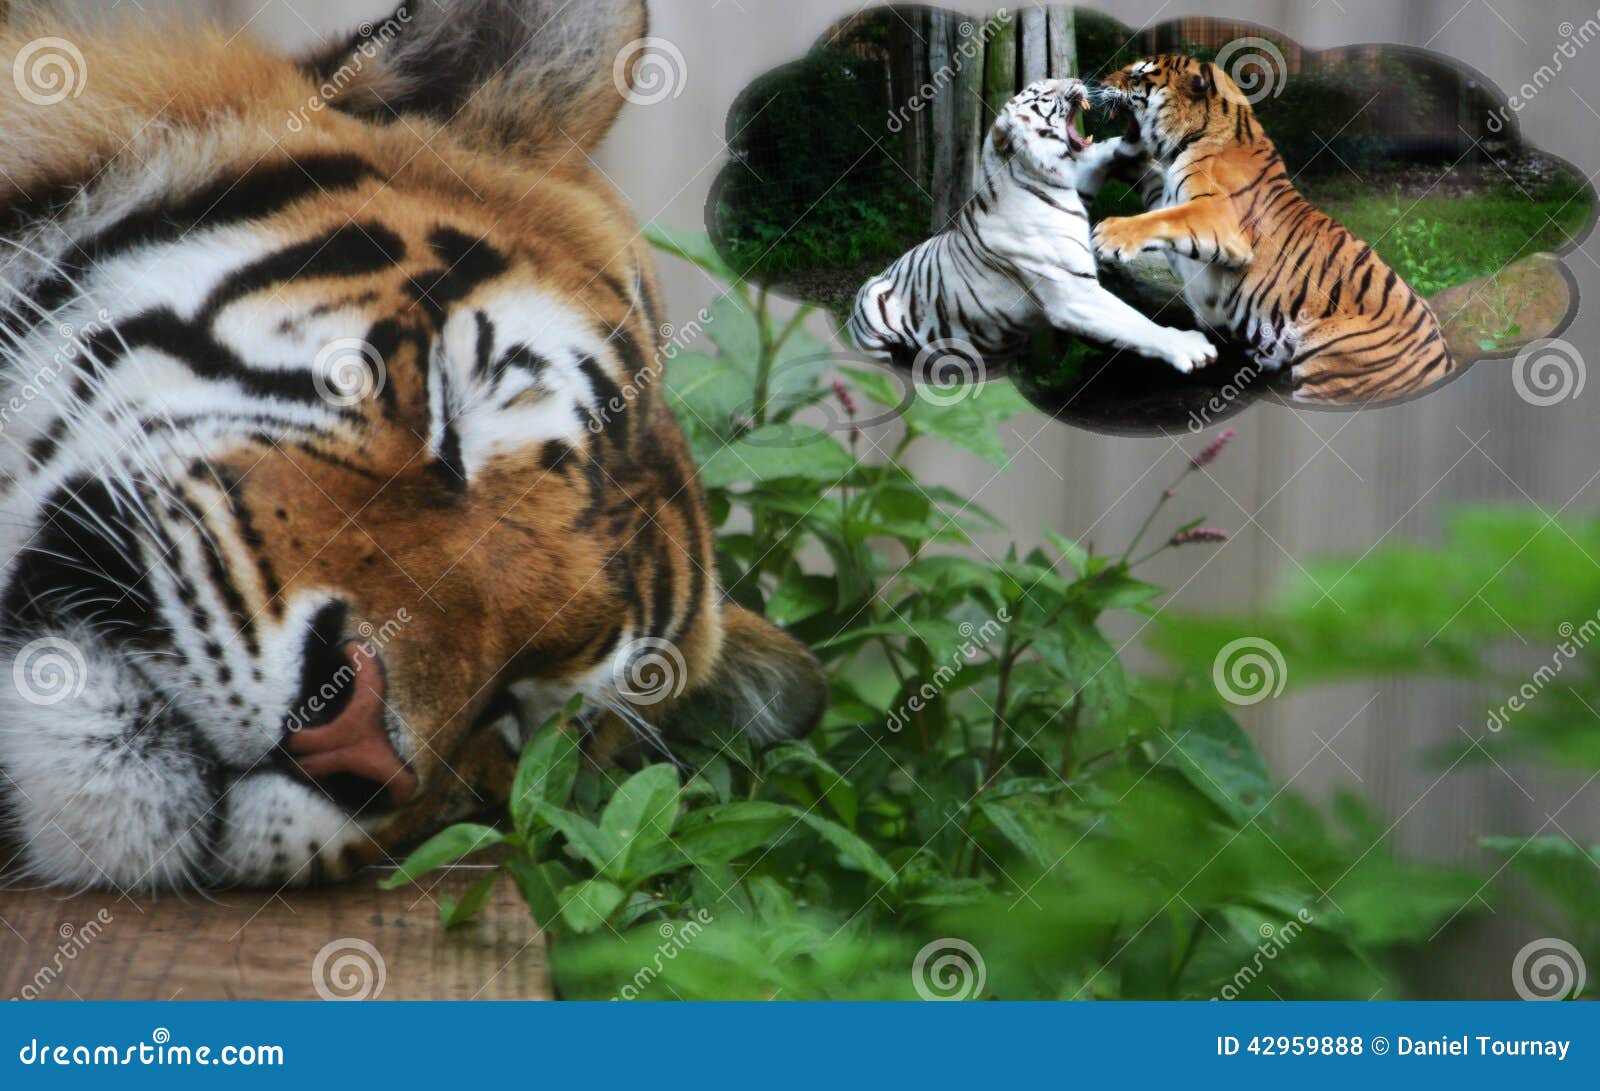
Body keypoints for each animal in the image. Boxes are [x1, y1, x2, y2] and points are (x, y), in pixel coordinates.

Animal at [848, 78, 1218, 379]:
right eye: (1043, 95)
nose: (1077, 81)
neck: (1039, 177)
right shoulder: (1073, 293)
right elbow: (1133, 322)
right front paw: (1189, 347)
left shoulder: (1078, 185)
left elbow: (1100, 154)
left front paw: (1132, 147)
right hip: (870, 310)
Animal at [1092, 56, 1456, 404]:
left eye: (1137, 75)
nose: (1099, 81)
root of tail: (1444, 363)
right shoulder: (1168, 194)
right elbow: (1154, 190)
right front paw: (1115, 158)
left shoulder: (1218, 219)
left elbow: (1164, 219)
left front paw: (1109, 233)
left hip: (1328, 360)